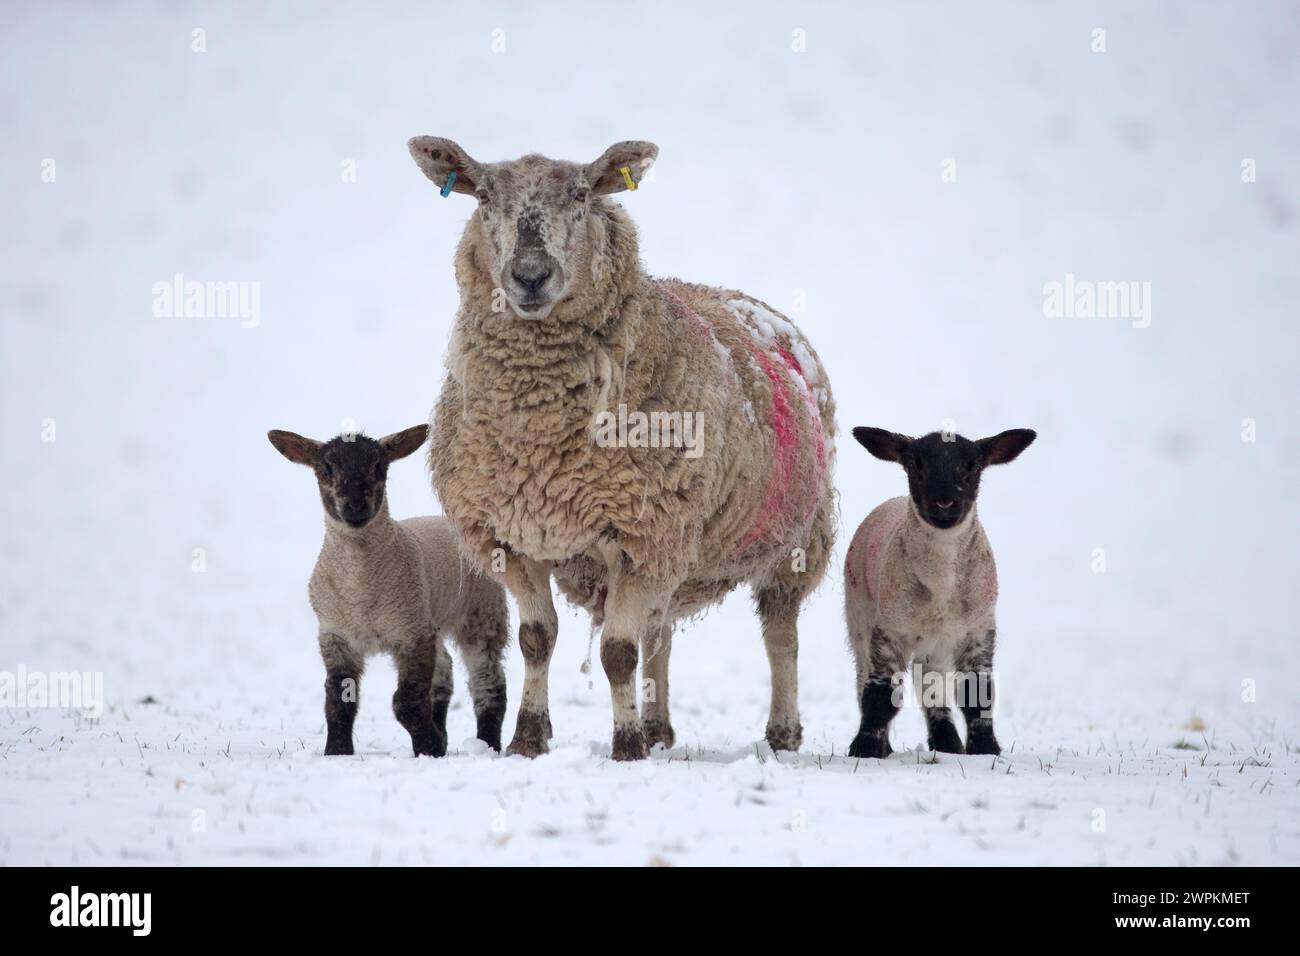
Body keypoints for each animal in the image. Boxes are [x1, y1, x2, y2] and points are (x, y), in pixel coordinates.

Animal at [267, 424, 510, 757]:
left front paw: (430, 746)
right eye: (326, 469)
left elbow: (406, 702)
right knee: (444, 671)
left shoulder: (410, 633)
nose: (356, 507)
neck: (361, 590)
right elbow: (338, 700)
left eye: (379, 466)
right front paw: (337, 751)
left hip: (483, 612)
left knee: (488, 682)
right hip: (433, 618)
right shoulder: (336, 635)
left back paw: (488, 744)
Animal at [407, 136, 837, 760]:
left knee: (780, 634)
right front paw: (528, 739)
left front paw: (627, 746)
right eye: (483, 196)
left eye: (582, 195)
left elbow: (616, 653)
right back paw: (660, 727)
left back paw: (780, 733)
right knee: (661, 633)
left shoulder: (643, 534)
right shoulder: (514, 536)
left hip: (792, 537)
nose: (530, 275)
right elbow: (538, 639)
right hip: (678, 550)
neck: (540, 441)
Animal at [843, 426, 1036, 758]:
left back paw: (947, 742)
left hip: (935, 646)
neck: (941, 584)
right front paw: (865, 748)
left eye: (972, 467)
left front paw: (985, 748)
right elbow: (880, 694)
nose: (944, 503)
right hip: (860, 619)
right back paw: (891, 746)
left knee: (931, 687)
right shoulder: (889, 630)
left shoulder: (979, 630)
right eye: (916, 465)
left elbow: (978, 692)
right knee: (863, 680)